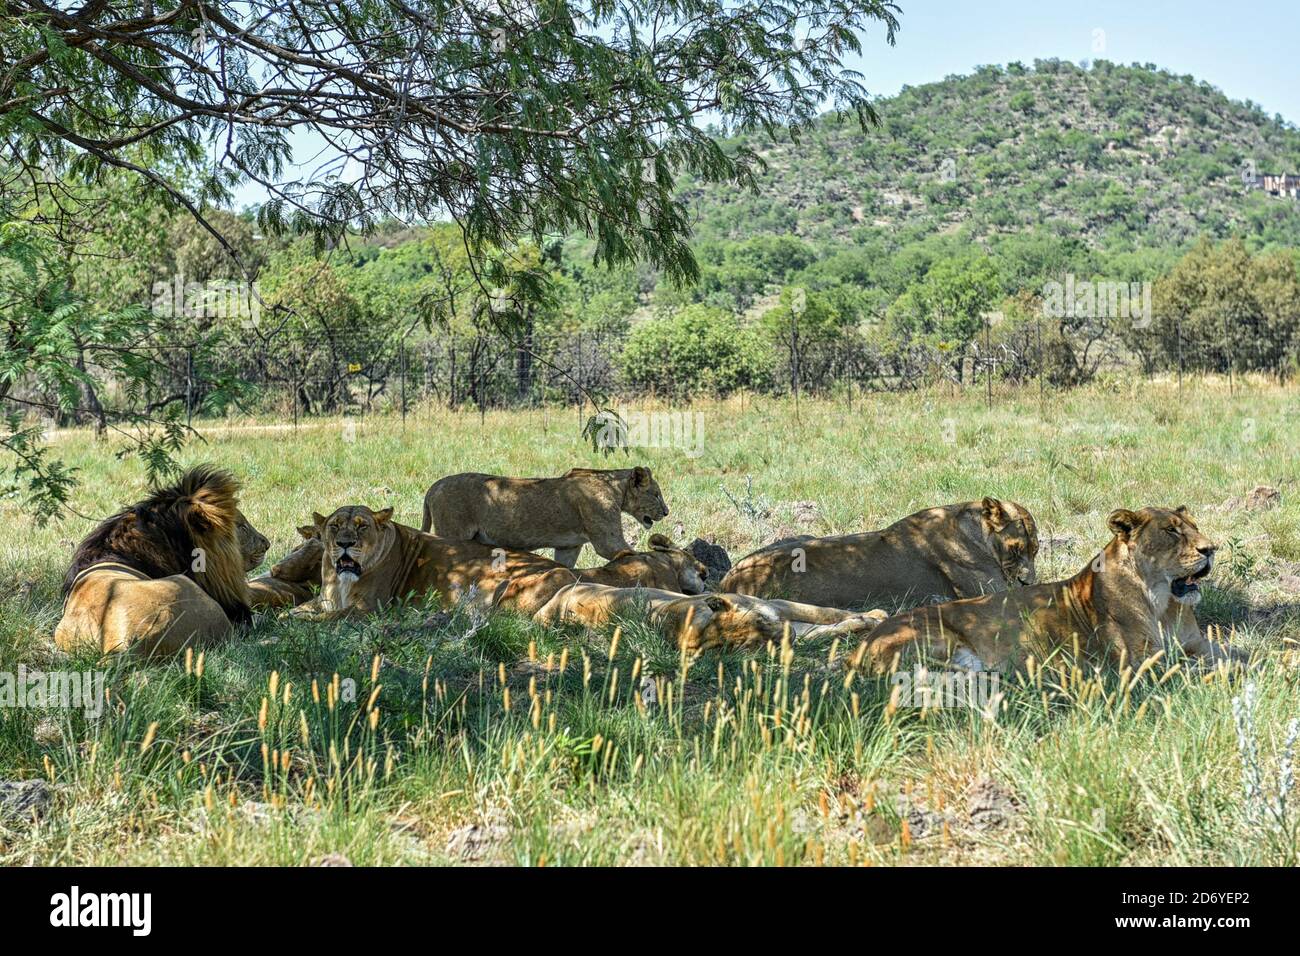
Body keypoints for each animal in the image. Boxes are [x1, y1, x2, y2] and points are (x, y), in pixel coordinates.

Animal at [293, 506, 579, 621]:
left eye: (362, 527)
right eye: (335, 526)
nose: (345, 543)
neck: (339, 581)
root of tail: (570, 574)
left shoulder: (368, 608)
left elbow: (328, 618)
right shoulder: (323, 599)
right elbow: (298, 610)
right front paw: (289, 616)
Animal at [421, 466, 670, 567]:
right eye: (656, 494)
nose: (666, 512)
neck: (617, 489)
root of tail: (434, 486)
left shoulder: (568, 547)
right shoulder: (608, 542)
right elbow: (633, 553)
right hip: (452, 532)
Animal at [854, 506, 1244, 674]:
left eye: (1194, 526)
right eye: (1172, 531)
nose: (1211, 549)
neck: (1165, 603)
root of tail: (861, 647)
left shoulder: (1196, 644)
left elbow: (1238, 654)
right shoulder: (1141, 660)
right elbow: (1202, 669)